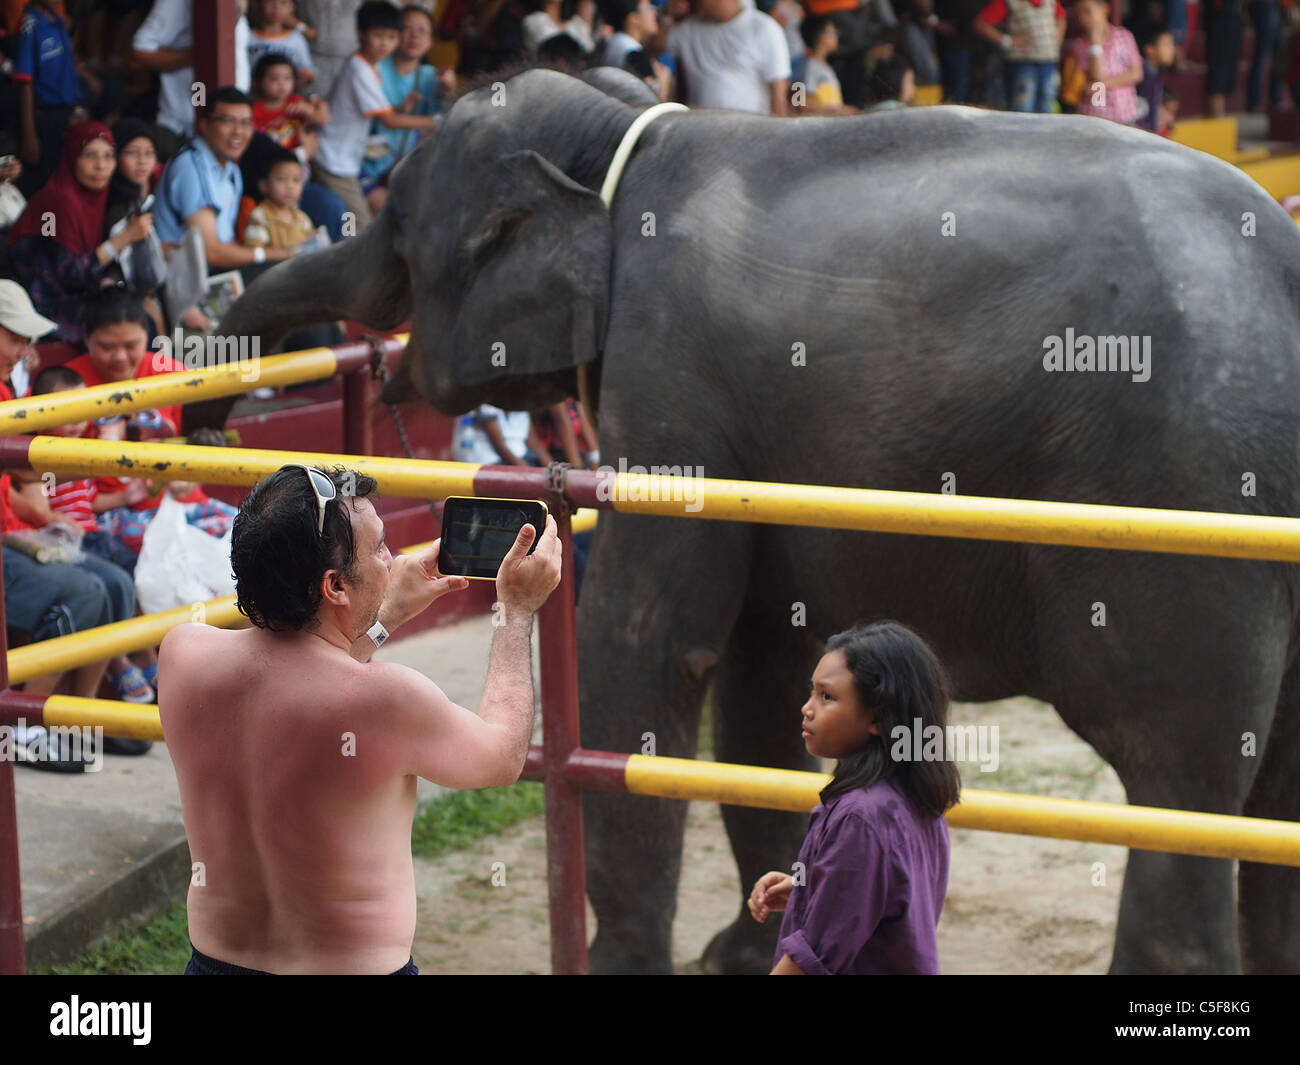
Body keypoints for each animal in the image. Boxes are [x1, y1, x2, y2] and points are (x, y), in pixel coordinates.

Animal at [218, 66, 1300, 975]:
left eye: (399, 229)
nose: (228, 415)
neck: (621, 138)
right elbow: (759, 668)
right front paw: (739, 951)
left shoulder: (669, 377)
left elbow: (649, 640)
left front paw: (632, 962)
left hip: (1183, 511)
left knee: (1178, 769)